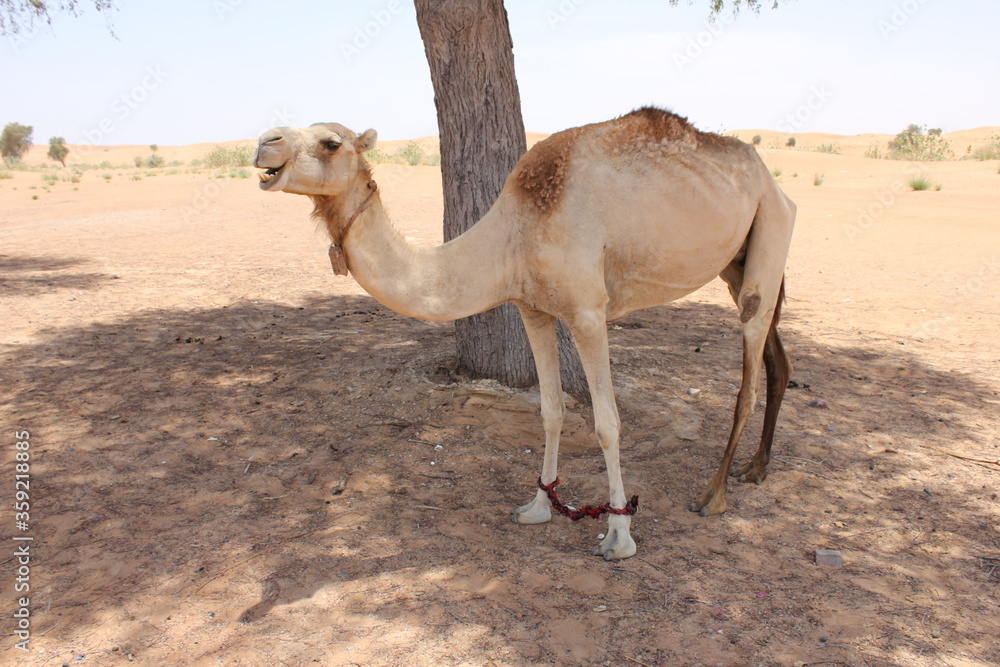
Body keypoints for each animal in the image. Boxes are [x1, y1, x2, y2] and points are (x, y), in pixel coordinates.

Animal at [254, 107, 796, 560]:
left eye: (330, 143)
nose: (264, 143)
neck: (515, 233)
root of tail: (772, 180)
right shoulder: (532, 308)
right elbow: (551, 410)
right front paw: (538, 506)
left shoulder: (588, 311)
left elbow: (607, 422)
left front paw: (619, 536)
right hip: (737, 262)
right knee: (777, 358)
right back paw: (756, 468)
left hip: (770, 228)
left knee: (747, 375)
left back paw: (714, 494)